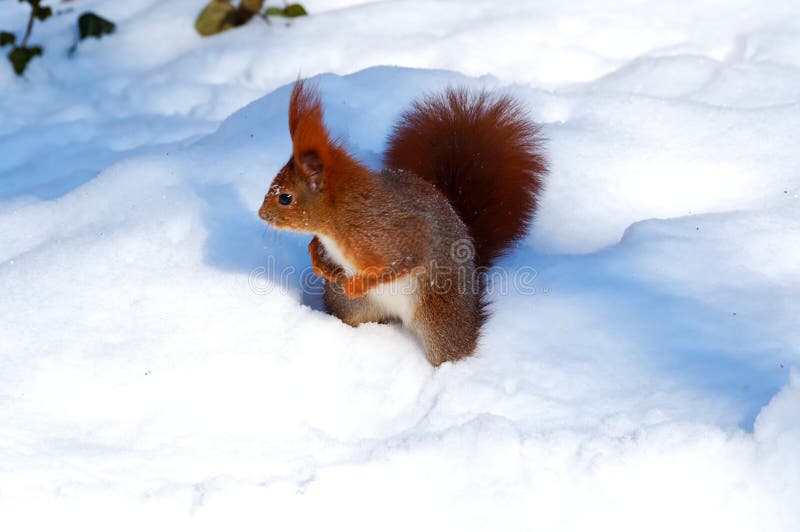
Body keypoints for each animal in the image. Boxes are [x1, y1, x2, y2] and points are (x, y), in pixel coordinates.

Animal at [259, 80, 546, 366]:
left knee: (449, 350)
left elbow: (402, 263)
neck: (340, 218)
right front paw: (317, 257)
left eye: (285, 198)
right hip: (351, 306)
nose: (261, 214)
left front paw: (358, 283)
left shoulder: (396, 234)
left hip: (441, 317)